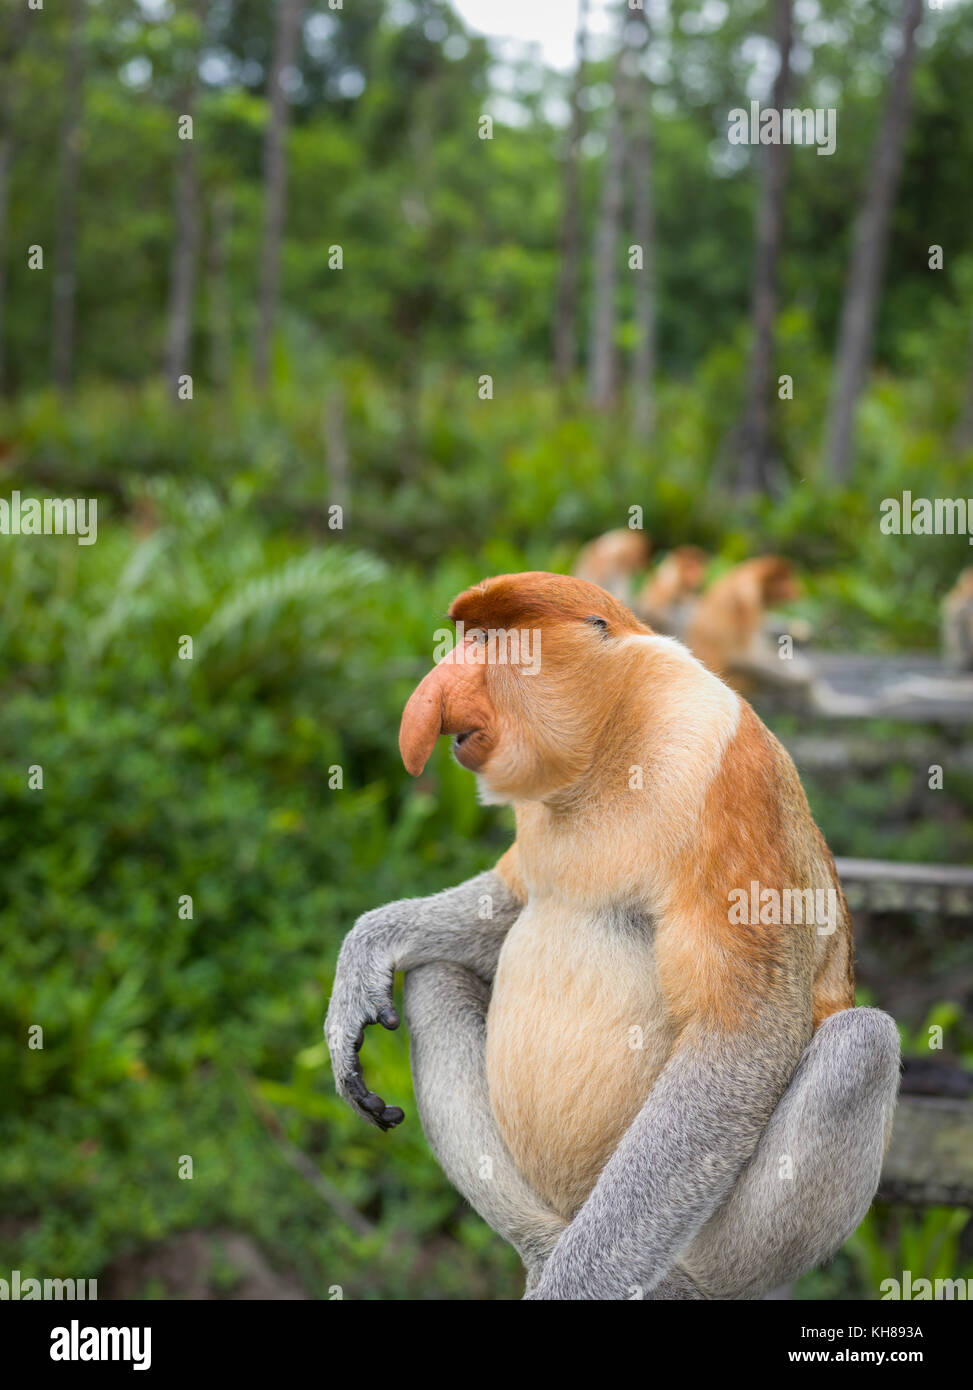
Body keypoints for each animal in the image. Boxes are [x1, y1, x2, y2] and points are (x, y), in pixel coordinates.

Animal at [326, 572, 899, 1300]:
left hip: (712, 1232)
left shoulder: (724, 770)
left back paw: (680, 1283)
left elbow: (741, 1033)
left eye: (485, 642)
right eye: (467, 638)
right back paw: (542, 1244)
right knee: (435, 977)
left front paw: (577, 1285)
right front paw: (364, 957)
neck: (608, 746)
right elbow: (511, 901)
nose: (433, 694)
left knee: (862, 1043)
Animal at [685, 555, 812, 695]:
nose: (795, 589)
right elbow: (742, 655)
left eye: (788, 580)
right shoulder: (748, 601)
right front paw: (802, 677)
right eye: (784, 582)